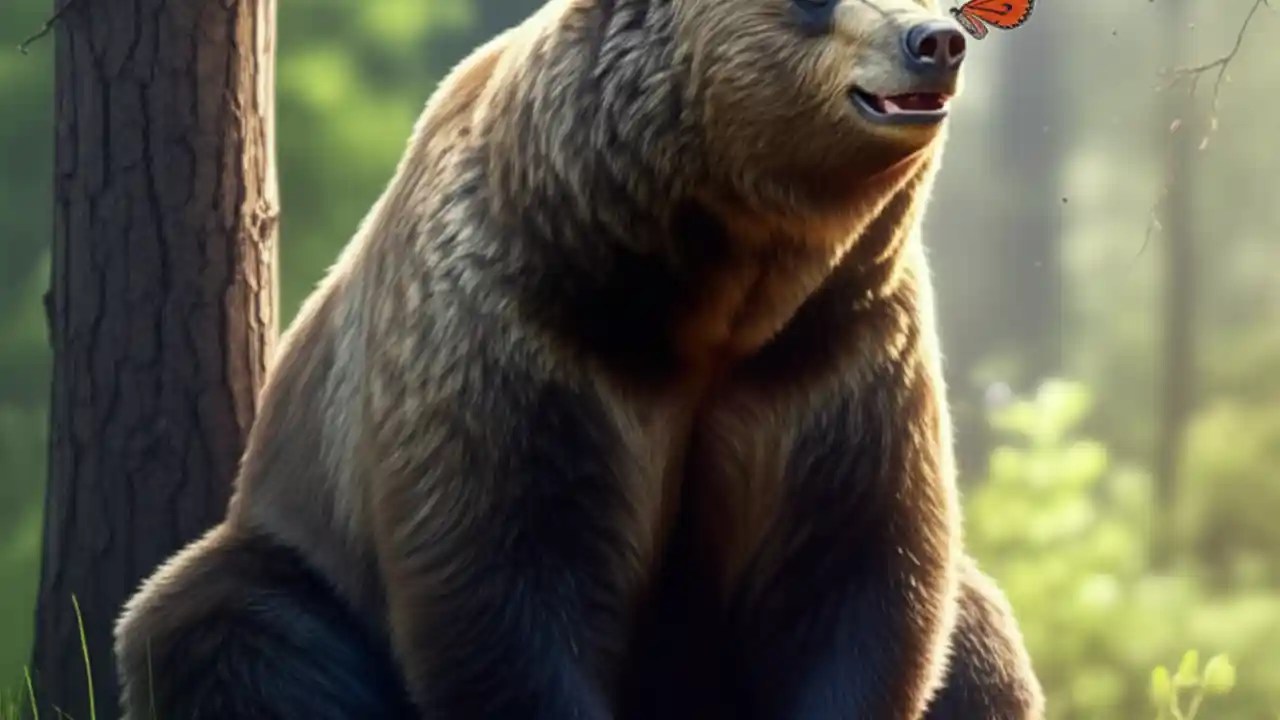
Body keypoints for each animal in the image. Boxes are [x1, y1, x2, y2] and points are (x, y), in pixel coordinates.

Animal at [115, 0, 1044, 718]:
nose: (936, 42)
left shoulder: (830, 348)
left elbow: (852, 571)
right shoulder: (519, 338)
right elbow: (507, 577)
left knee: (982, 639)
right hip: (302, 558)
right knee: (225, 629)